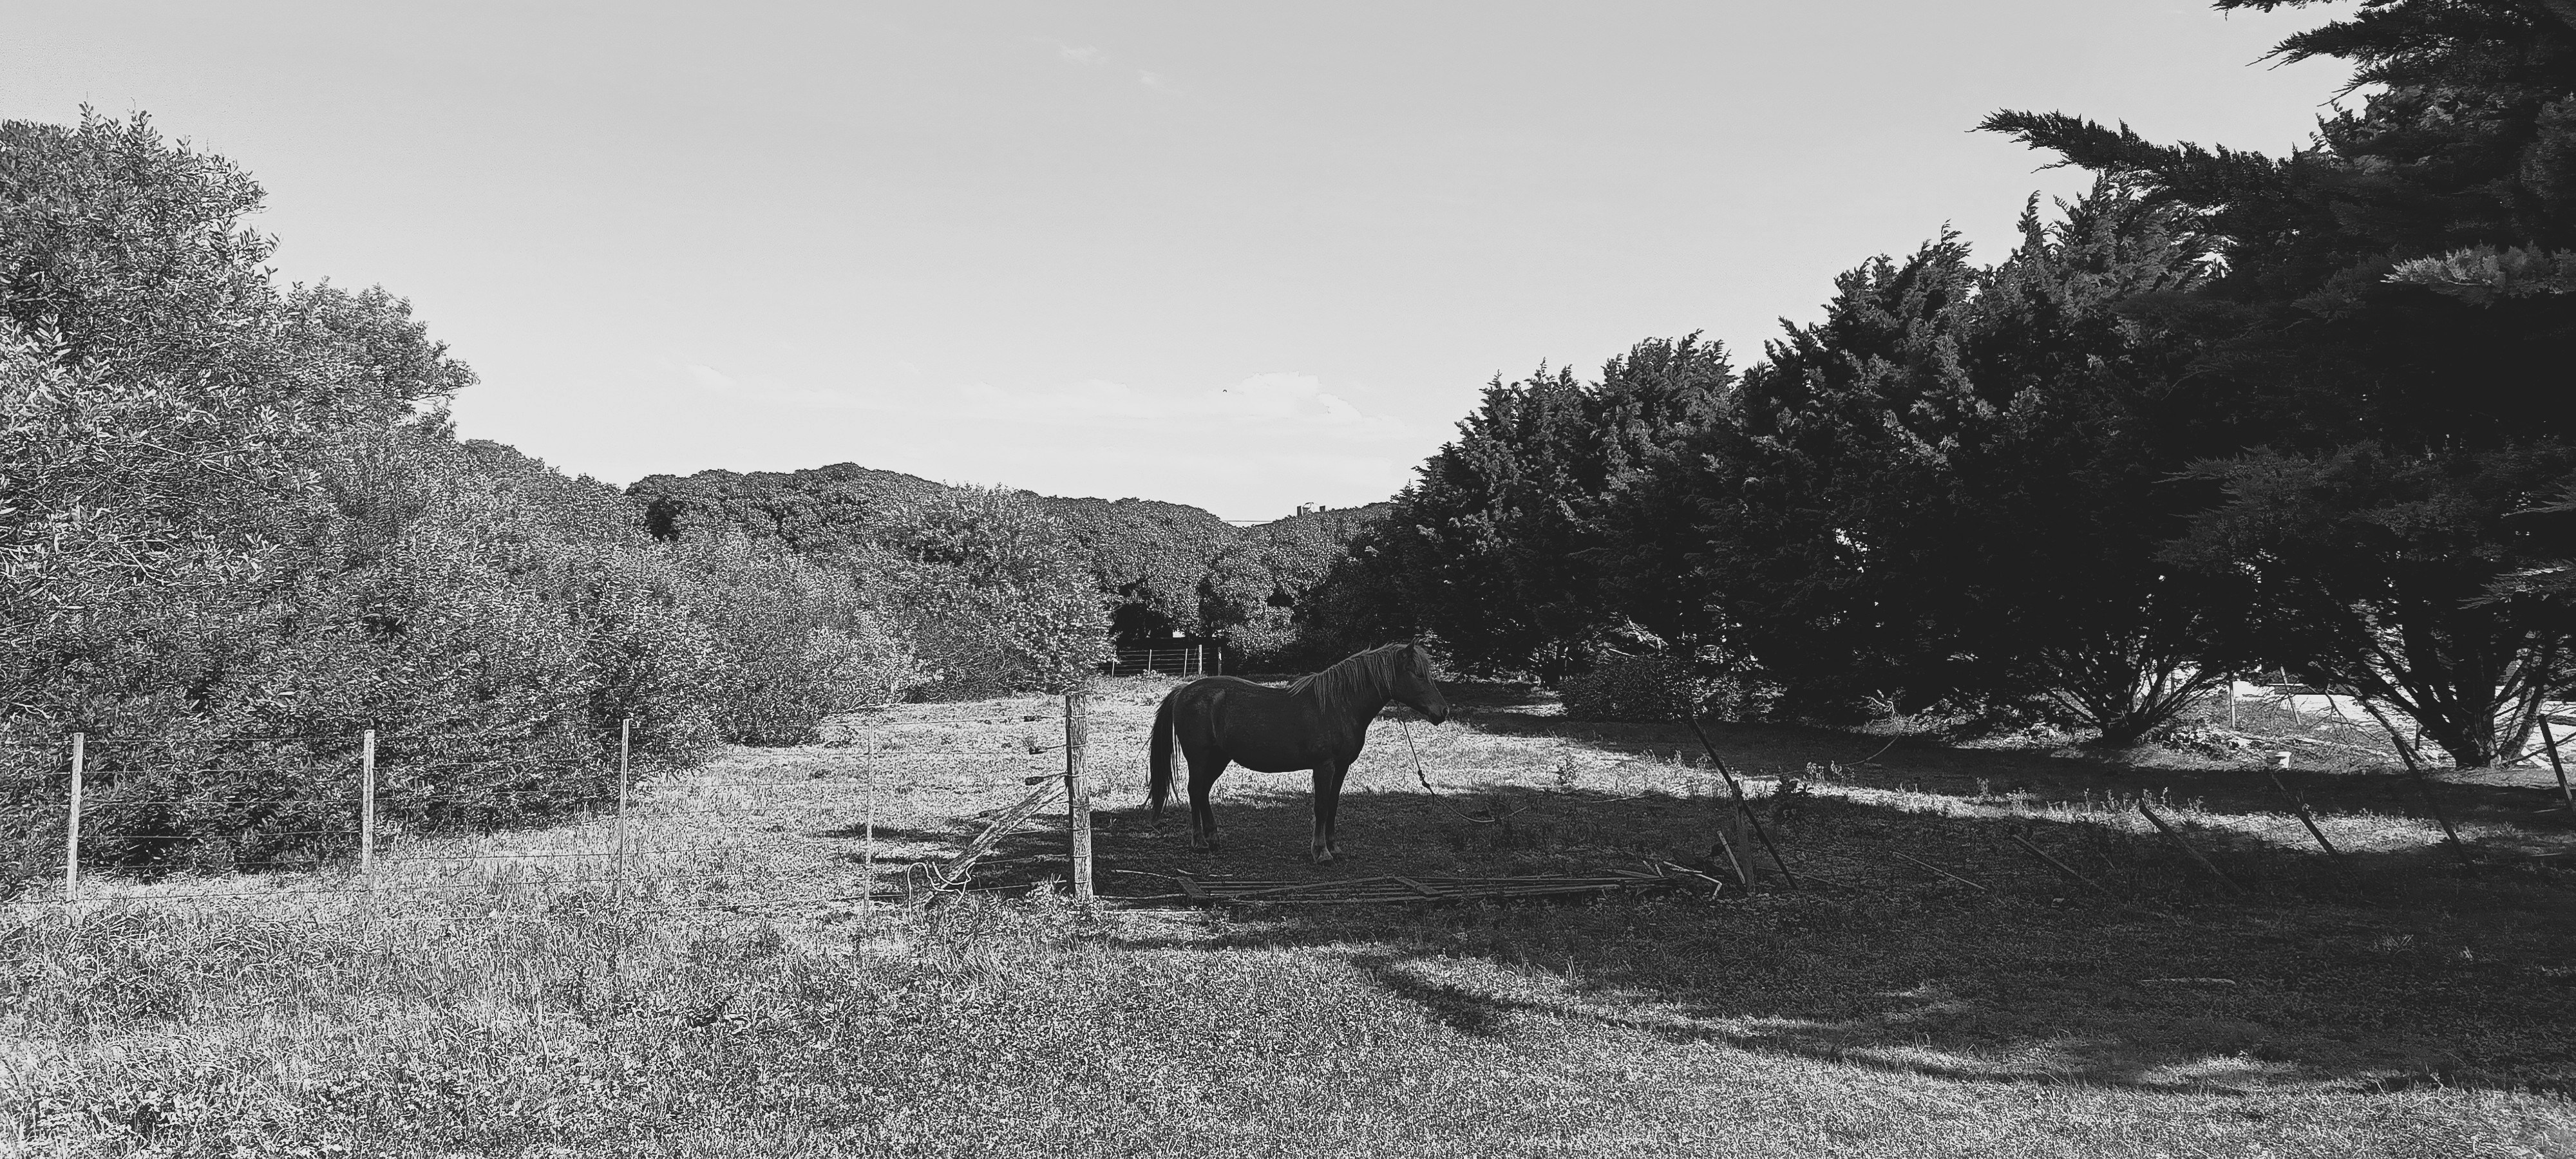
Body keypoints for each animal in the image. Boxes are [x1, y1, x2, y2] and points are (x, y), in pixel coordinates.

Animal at [1147, 641, 1450, 864]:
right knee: (1195, 791)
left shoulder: (1341, 767)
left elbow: (1333, 806)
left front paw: (1334, 848)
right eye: (1418, 674)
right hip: (1200, 758)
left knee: (1203, 792)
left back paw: (1213, 838)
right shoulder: (1324, 766)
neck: (1338, 704)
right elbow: (1321, 806)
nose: (1443, 711)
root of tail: (1184, 690)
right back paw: (1199, 841)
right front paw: (1321, 852)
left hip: (1219, 759)